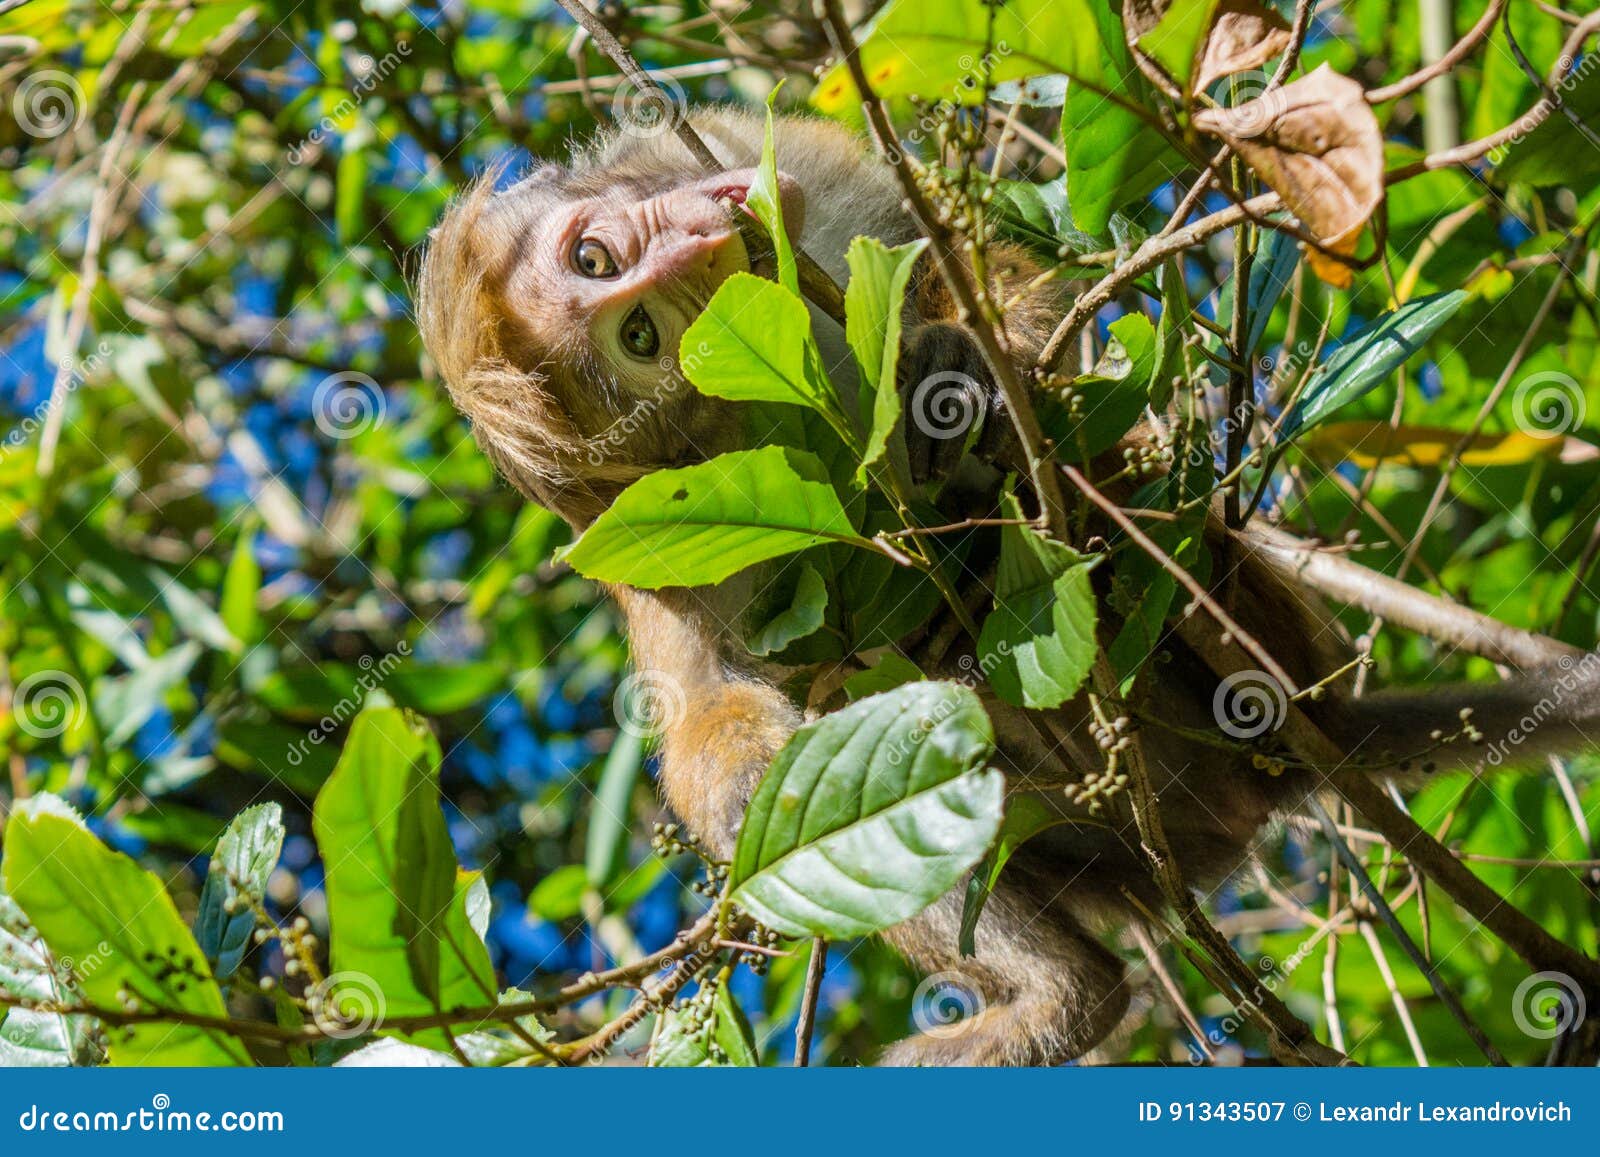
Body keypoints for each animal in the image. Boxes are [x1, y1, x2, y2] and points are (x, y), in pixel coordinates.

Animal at [415, 106, 1600, 1066]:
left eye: (597, 255)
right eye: (641, 337)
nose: (697, 246)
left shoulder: (725, 147)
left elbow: (972, 277)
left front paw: (964, 367)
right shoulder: (681, 549)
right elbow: (725, 734)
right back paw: (1067, 999)